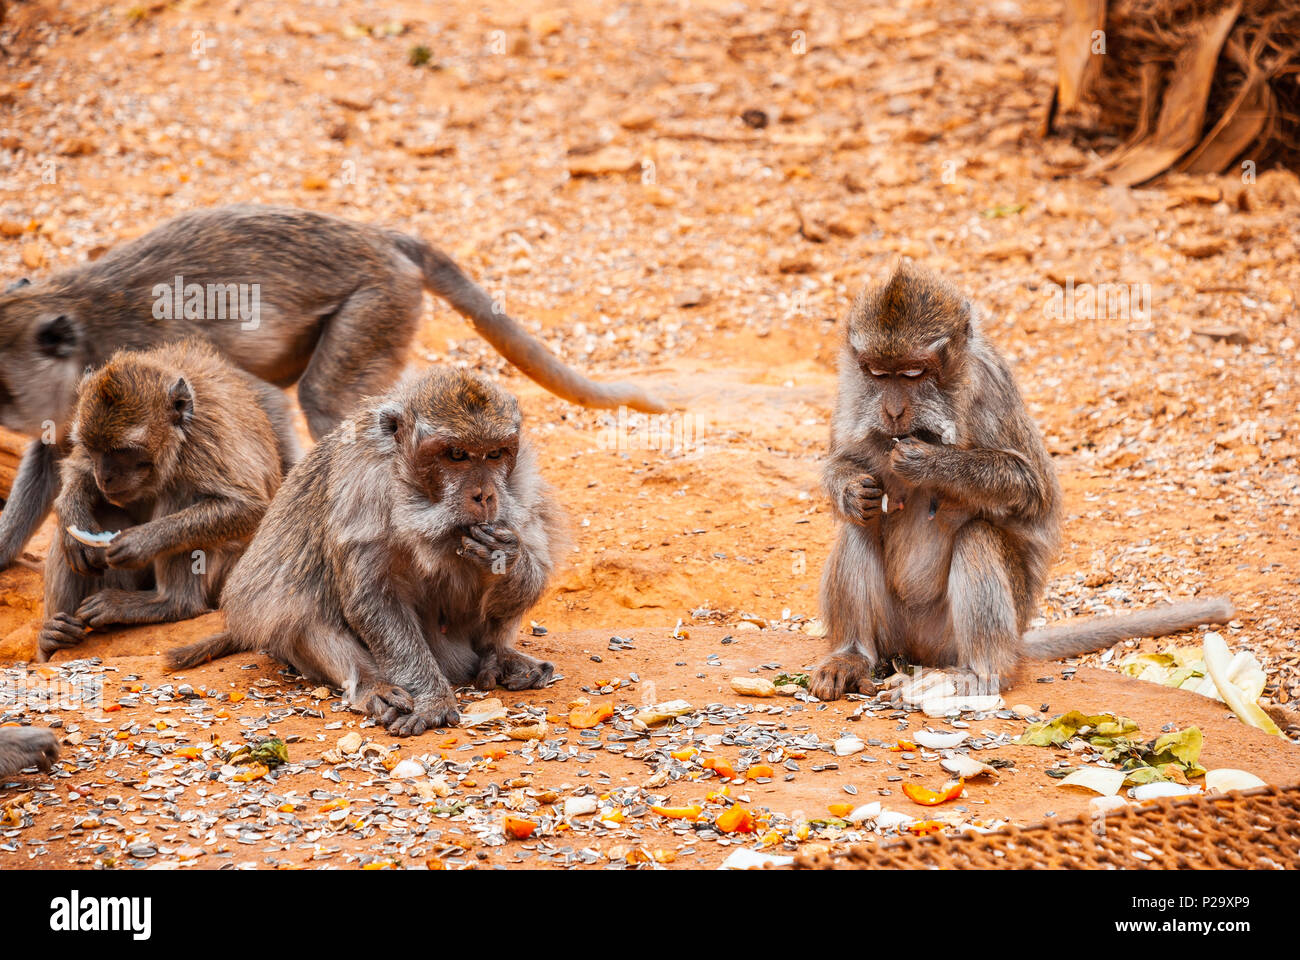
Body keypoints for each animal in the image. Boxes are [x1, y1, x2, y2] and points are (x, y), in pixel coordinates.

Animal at [0, 204, 666, 570]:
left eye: (1, 389)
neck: (84, 333)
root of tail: (377, 237)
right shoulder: (71, 407)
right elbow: (49, 458)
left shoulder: (155, 353)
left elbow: (258, 400)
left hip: (378, 303)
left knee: (321, 402)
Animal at [35, 339, 283, 662]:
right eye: (94, 448)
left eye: (123, 451)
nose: (105, 478)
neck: (177, 436)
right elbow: (79, 469)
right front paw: (72, 514)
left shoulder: (205, 440)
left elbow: (248, 508)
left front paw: (141, 542)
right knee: (101, 515)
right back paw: (52, 638)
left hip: (224, 574)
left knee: (181, 492)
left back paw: (170, 604)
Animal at [167, 367, 565, 737]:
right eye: (456, 455)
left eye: (494, 454)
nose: (484, 495)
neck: (415, 498)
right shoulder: (362, 486)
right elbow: (373, 597)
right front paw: (433, 700)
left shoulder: (521, 480)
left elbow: (532, 563)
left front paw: (506, 559)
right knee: (296, 606)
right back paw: (374, 686)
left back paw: (499, 657)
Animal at [810, 263, 1232, 700]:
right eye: (878, 373)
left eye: (914, 373)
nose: (892, 411)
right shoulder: (852, 389)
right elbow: (844, 461)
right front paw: (851, 489)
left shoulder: (989, 386)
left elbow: (1031, 487)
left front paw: (927, 462)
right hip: (896, 633)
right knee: (860, 527)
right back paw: (853, 655)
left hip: (966, 631)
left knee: (978, 536)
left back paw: (979, 673)